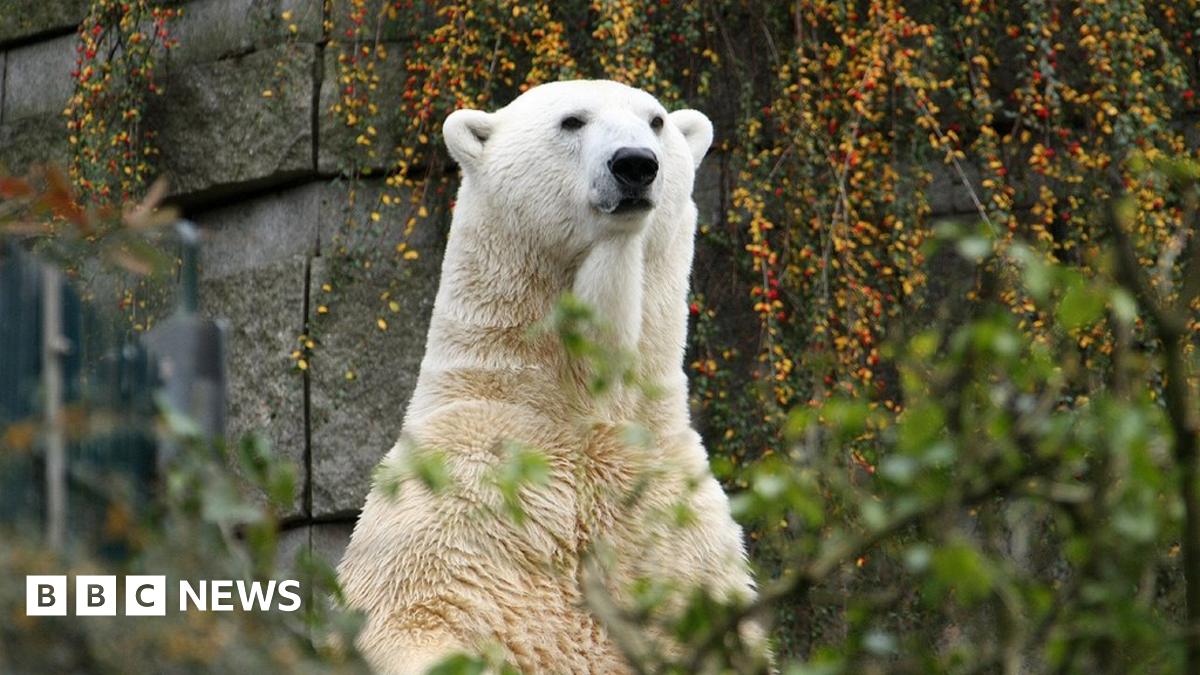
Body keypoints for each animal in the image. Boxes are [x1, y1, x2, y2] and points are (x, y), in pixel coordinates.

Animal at [337, 80, 758, 674]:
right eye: (572, 120)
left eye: (655, 121)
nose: (635, 164)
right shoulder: (460, 502)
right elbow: (418, 617)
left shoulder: (674, 531)